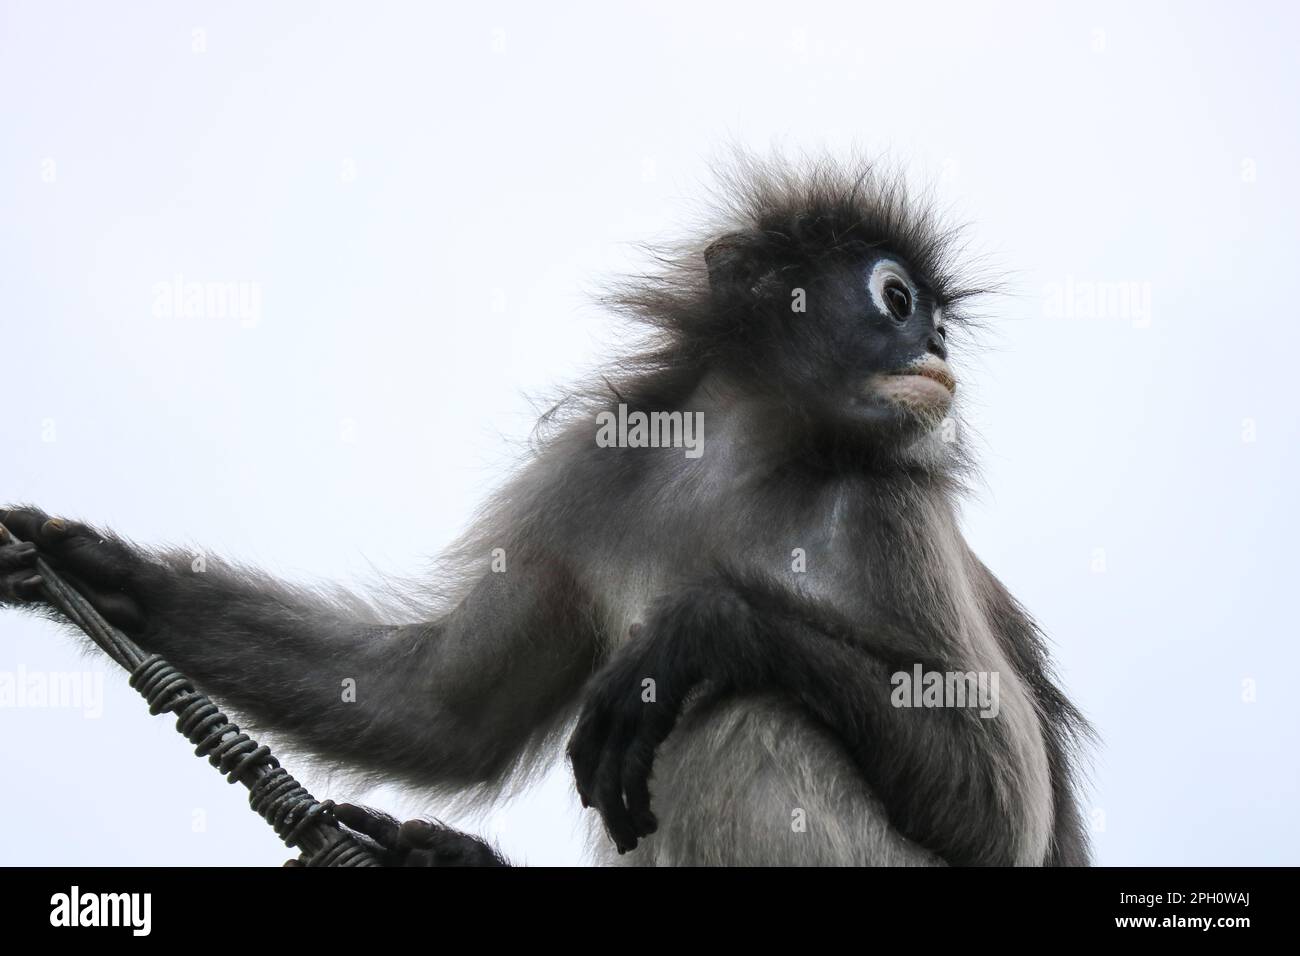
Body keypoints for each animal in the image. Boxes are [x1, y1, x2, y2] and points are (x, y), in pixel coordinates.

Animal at [0, 154, 1091, 866]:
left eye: (932, 315)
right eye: (897, 297)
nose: (935, 342)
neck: (749, 454)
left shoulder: (892, 503)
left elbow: (1000, 813)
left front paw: (703, 624)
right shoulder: (587, 475)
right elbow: (437, 708)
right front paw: (99, 573)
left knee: (738, 711)